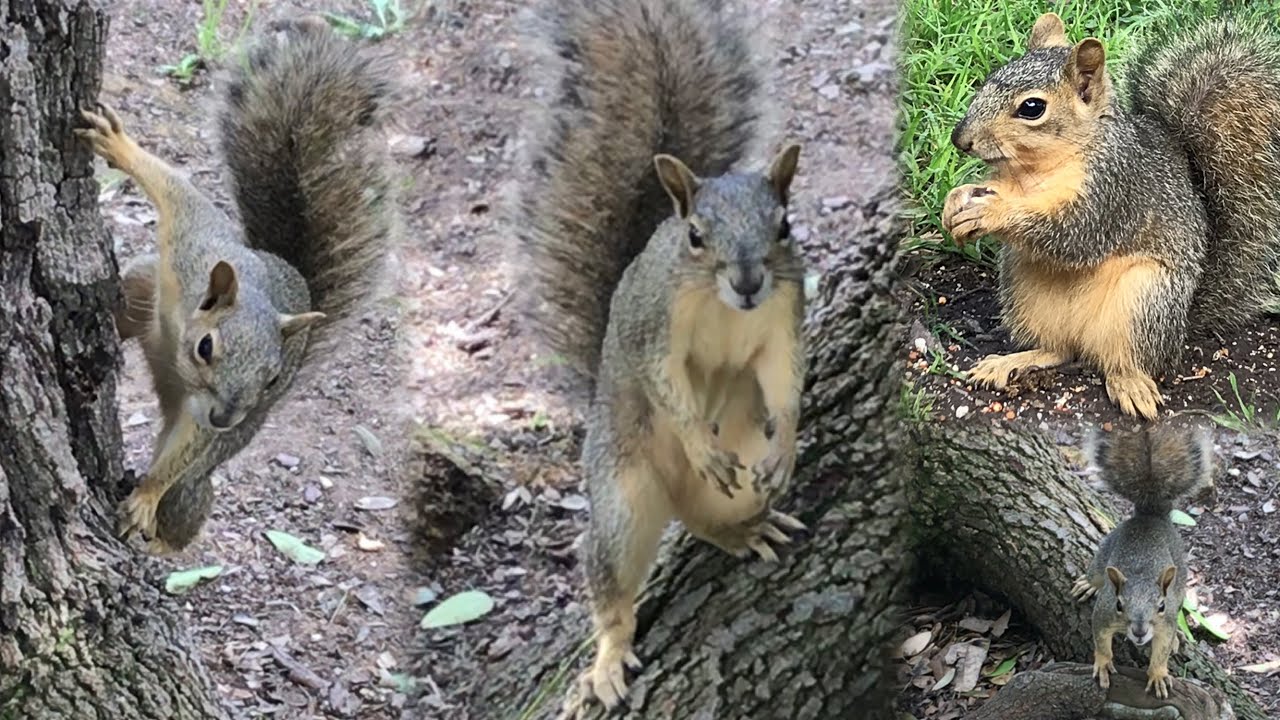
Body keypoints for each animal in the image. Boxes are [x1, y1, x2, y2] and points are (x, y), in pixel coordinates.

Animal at [75, 18, 397, 554]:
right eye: (206, 348)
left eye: (272, 379)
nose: (227, 417)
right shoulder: (191, 240)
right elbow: (174, 186)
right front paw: (120, 147)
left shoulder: (203, 419)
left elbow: (185, 452)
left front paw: (145, 497)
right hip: (144, 278)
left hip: (225, 453)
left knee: (190, 498)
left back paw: (161, 542)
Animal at [511, 0, 806, 711]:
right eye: (695, 235)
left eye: (783, 225)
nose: (748, 281)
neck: (728, 306)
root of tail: (673, 492)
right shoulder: (653, 329)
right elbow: (665, 378)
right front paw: (699, 438)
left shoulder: (784, 317)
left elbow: (783, 377)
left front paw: (788, 441)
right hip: (620, 496)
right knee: (613, 584)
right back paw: (609, 658)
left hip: (733, 483)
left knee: (704, 523)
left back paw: (744, 529)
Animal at [942, 12, 1280, 419]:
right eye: (991, 77)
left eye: (1032, 108)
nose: (960, 139)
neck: (1041, 168)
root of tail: (1182, 325)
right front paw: (955, 202)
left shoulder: (1114, 188)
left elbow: (1074, 234)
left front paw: (993, 212)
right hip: (1023, 290)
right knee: (1059, 349)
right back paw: (1011, 362)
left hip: (1144, 299)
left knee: (1126, 360)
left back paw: (1130, 384)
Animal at [1070, 424, 1214, 699]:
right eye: (1119, 604)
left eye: (1161, 606)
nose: (1139, 632)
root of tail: (1150, 516)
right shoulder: (1103, 614)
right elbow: (1101, 642)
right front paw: (1103, 664)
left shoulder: (1165, 623)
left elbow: (1162, 649)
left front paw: (1158, 675)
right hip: (1105, 550)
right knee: (1096, 572)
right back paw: (1088, 584)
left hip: (1180, 577)